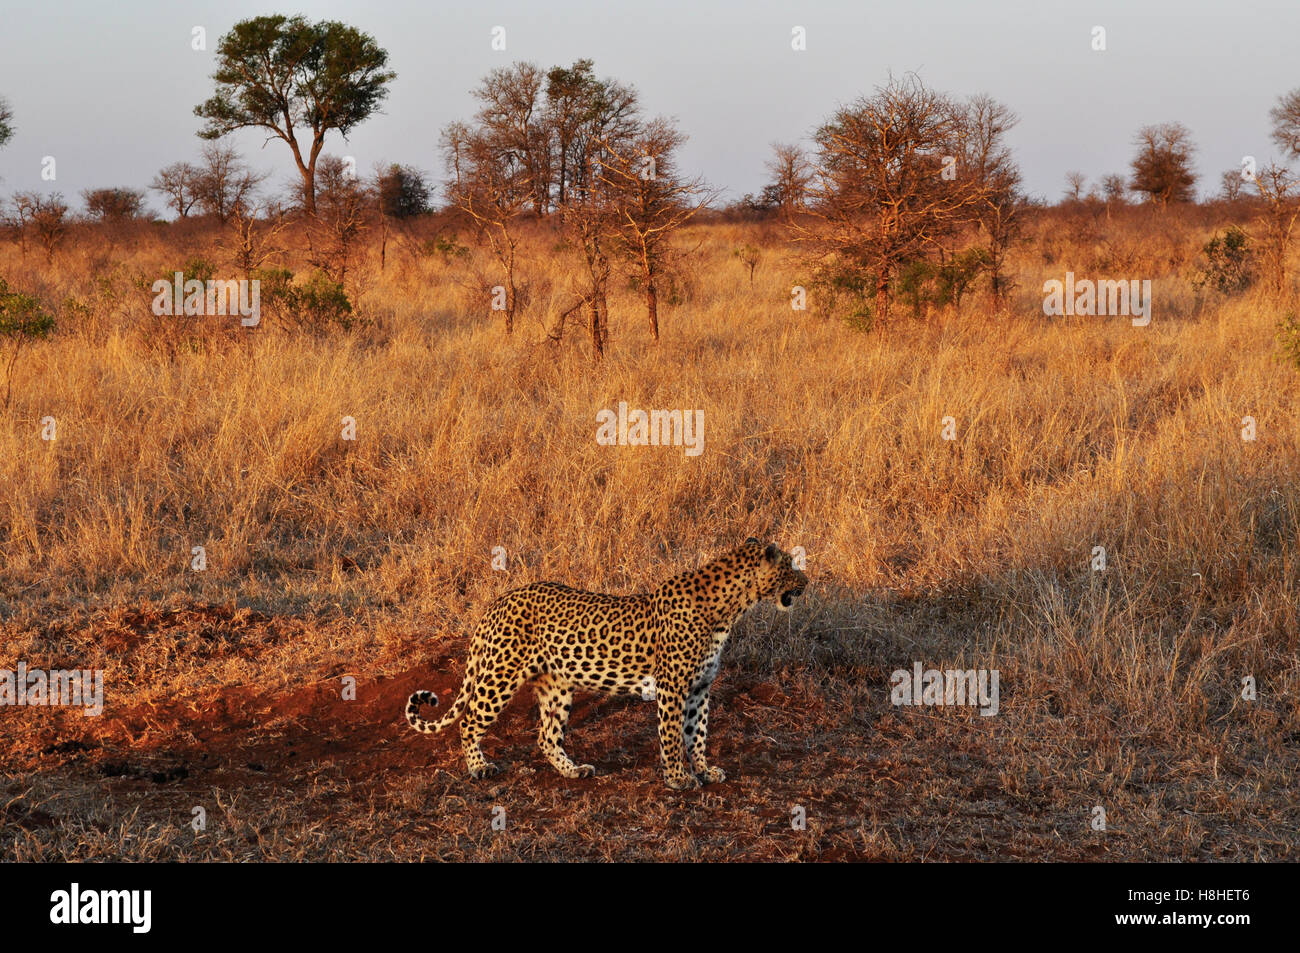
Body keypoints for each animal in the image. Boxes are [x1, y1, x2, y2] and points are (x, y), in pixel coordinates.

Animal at [405, 538, 808, 790]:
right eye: (790, 566)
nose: (807, 580)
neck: (731, 610)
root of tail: (498, 601)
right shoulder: (673, 688)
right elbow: (672, 734)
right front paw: (678, 778)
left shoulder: (700, 688)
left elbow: (698, 734)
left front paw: (705, 772)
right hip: (501, 676)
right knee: (470, 720)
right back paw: (479, 767)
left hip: (556, 686)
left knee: (546, 735)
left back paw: (574, 771)